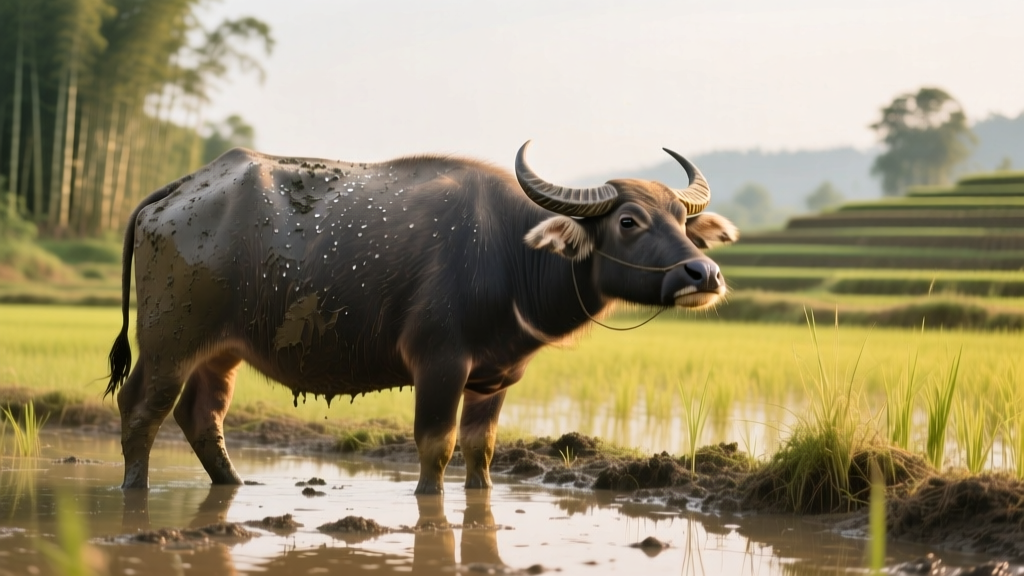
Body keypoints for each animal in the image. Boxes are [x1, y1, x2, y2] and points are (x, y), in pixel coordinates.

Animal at [106, 142, 737, 493]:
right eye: (628, 221)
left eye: (682, 220)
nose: (703, 274)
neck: (513, 253)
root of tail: (179, 192)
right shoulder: (439, 363)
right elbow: (436, 446)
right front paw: (428, 503)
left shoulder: (495, 377)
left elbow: (481, 450)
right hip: (169, 339)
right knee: (141, 408)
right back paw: (134, 490)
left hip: (223, 349)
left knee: (201, 415)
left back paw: (233, 484)